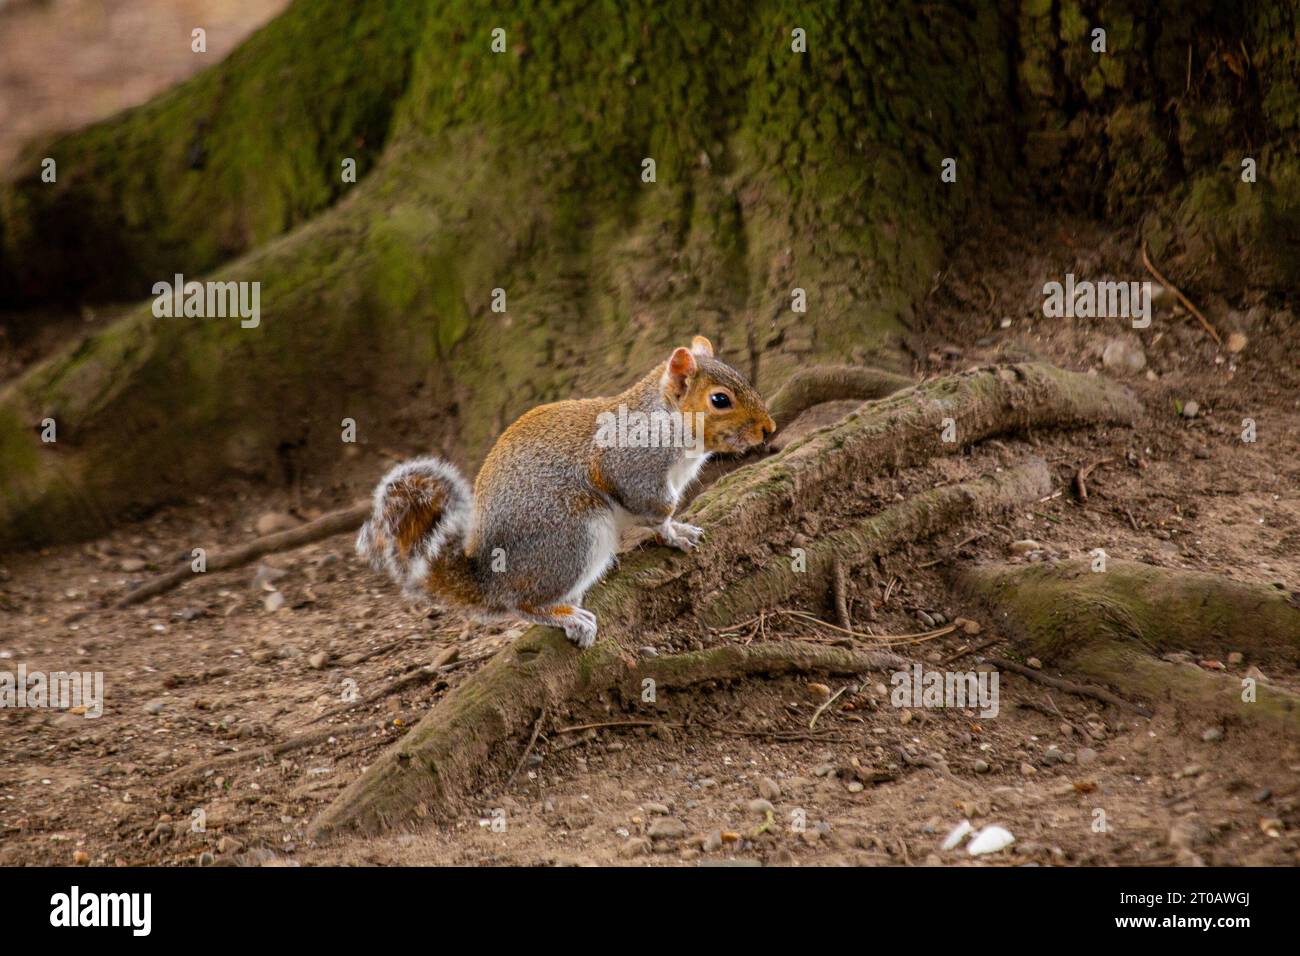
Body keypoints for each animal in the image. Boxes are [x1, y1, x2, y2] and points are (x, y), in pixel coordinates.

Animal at [356, 335, 776, 648]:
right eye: (720, 400)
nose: (768, 429)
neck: (669, 420)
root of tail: (489, 580)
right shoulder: (631, 464)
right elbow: (656, 506)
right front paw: (673, 531)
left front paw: (676, 530)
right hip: (572, 535)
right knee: (522, 605)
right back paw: (568, 618)